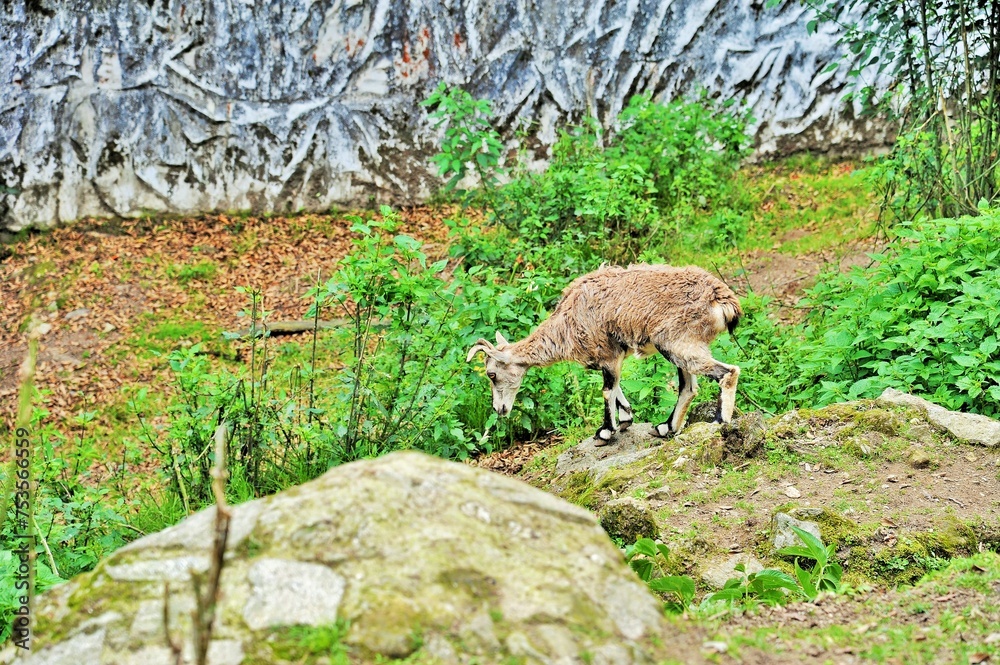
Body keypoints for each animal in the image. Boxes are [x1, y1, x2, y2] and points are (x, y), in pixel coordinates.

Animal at [466, 264, 743, 445]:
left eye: (491, 374)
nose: (499, 409)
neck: (566, 323)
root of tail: (724, 300)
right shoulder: (610, 357)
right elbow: (616, 386)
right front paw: (626, 418)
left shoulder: (606, 353)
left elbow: (607, 390)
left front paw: (605, 431)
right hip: (679, 344)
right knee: (689, 386)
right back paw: (665, 427)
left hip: (677, 341)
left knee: (727, 372)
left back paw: (719, 421)